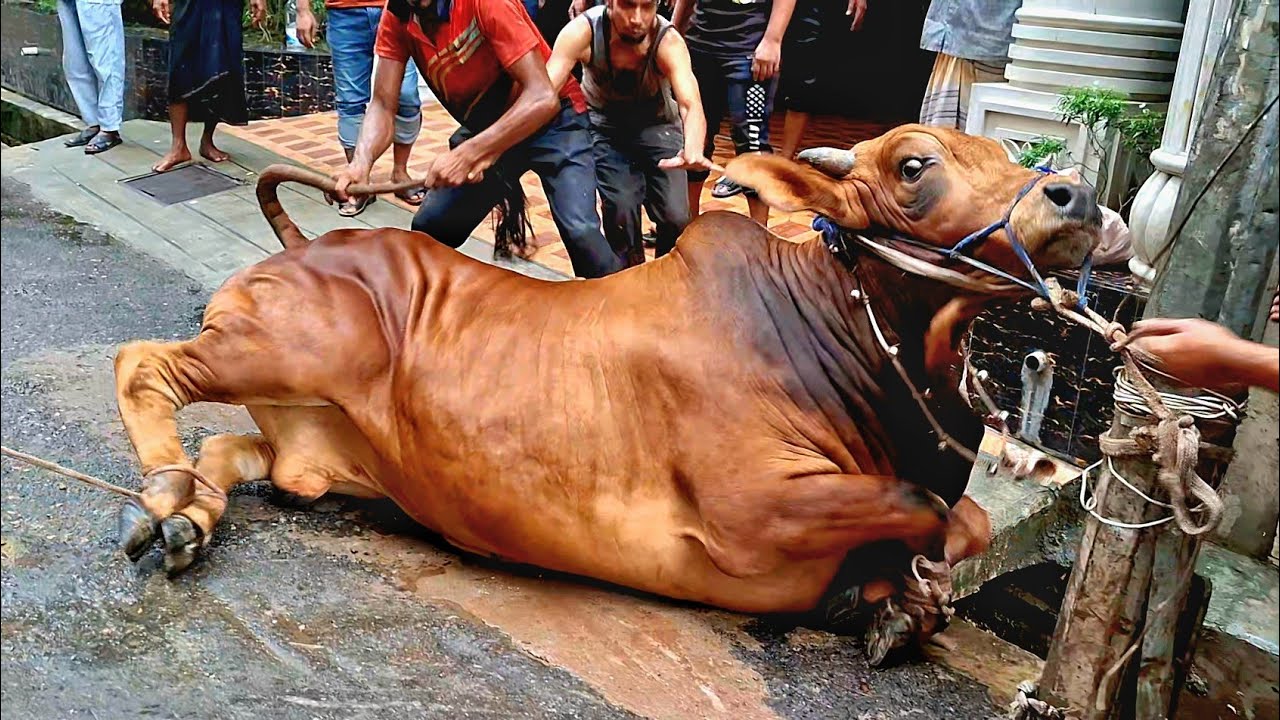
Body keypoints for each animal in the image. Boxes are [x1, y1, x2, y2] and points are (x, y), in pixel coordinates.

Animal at [112, 124, 1100, 663]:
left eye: (1008, 151)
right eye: (913, 165)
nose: (1077, 198)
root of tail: (304, 243)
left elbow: (955, 526)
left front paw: (904, 607)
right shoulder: (749, 510)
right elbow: (937, 511)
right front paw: (905, 599)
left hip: (308, 440)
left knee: (230, 450)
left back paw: (189, 517)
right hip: (278, 346)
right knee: (142, 364)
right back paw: (160, 499)